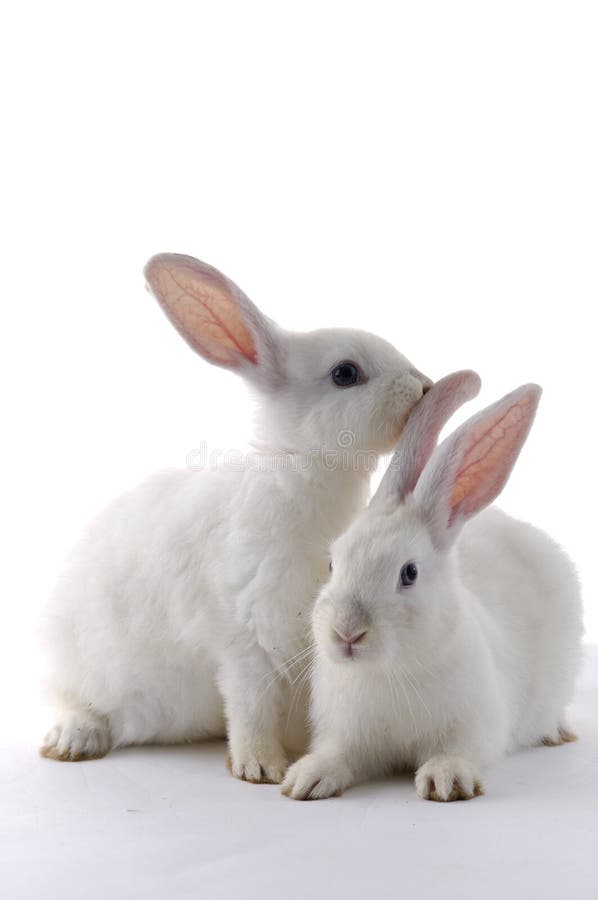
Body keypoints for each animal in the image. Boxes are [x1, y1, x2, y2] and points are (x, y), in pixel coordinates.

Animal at [39, 252, 432, 783]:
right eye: (345, 373)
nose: (424, 386)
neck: (304, 471)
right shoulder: (247, 640)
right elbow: (251, 707)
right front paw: (260, 767)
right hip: (78, 661)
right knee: (75, 702)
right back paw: (74, 739)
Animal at [282, 370, 583, 801]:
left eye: (409, 573)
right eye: (332, 562)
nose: (347, 633)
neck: (391, 671)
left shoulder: (475, 725)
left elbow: (457, 751)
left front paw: (446, 781)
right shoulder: (346, 734)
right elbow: (337, 755)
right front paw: (306, 779)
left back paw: (558, 733)